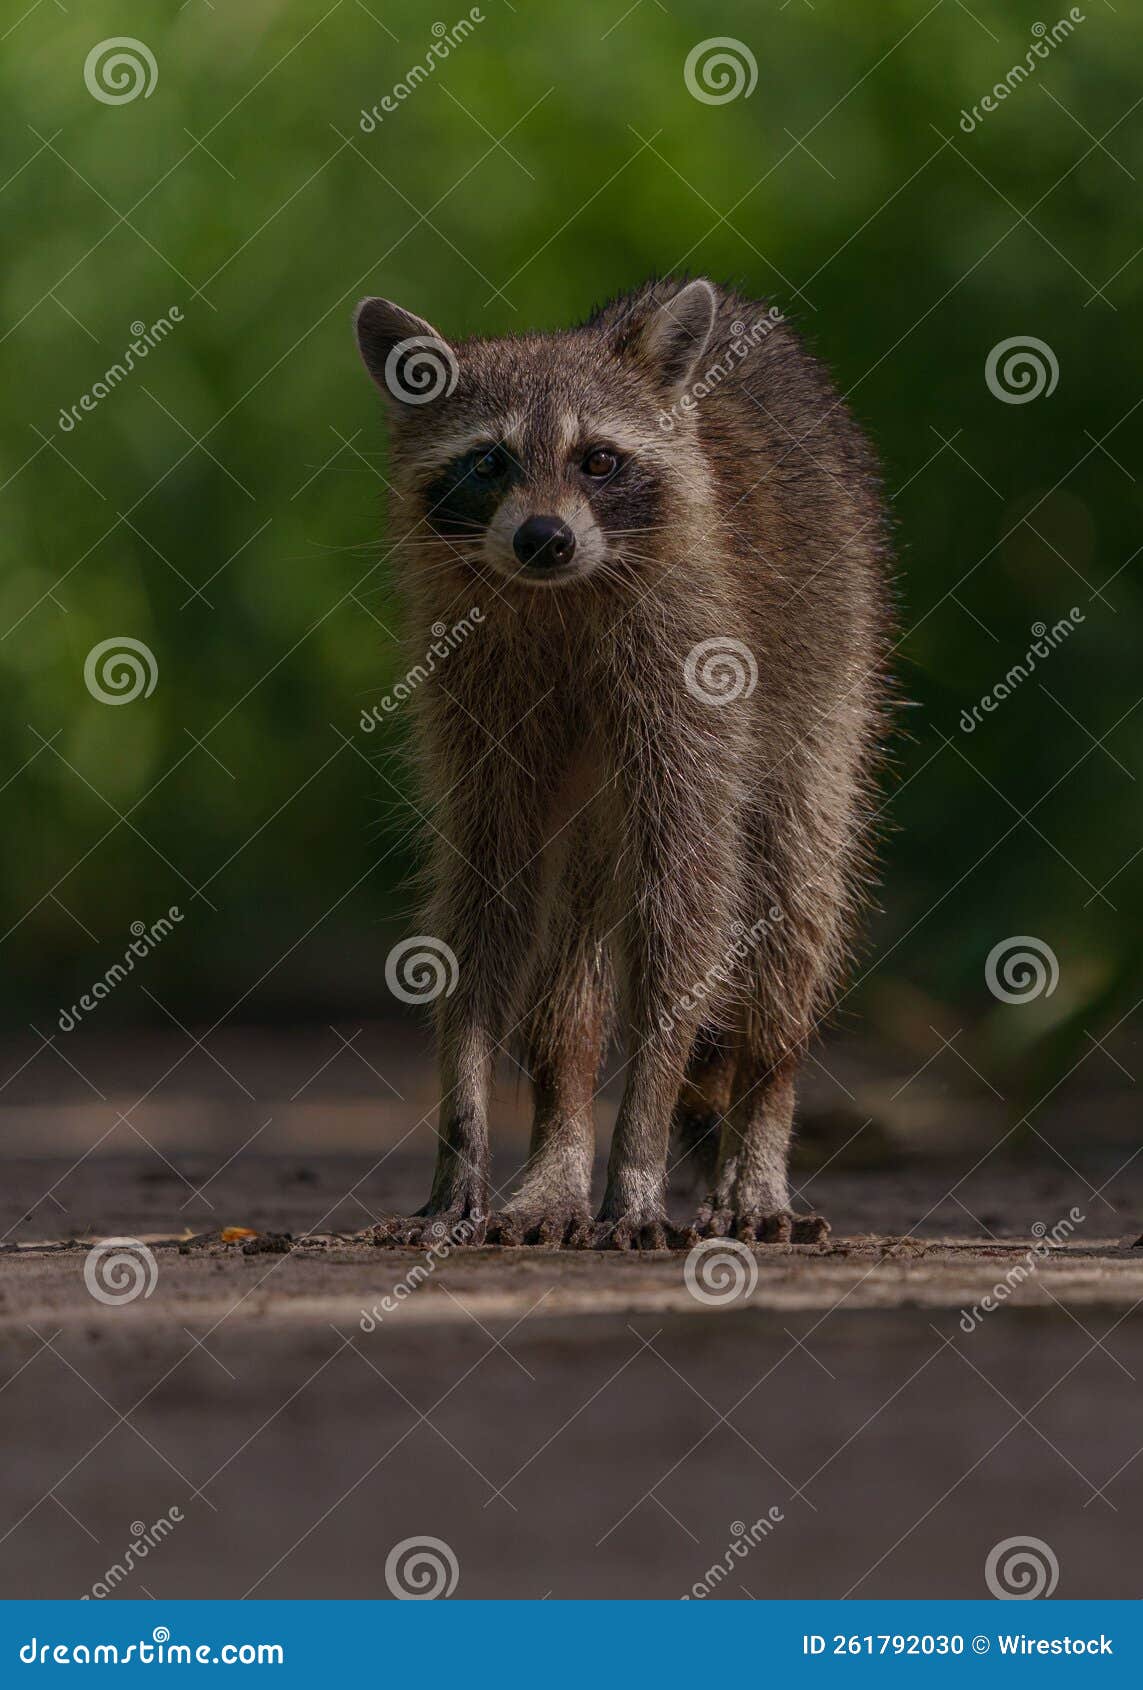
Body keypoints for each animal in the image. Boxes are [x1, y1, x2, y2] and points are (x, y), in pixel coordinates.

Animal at [354, 277, 892, 1249]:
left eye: (598, 460)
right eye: (487, 462)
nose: (543, 538)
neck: (557, 598)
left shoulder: (695, 679)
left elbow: (688, 911)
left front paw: (638, 1146)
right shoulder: (473, 697)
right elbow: (484, 901)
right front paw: (464, 1128)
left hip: (833, 673)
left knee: (793, 902)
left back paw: (760, 1127)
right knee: (568, 961)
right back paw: (558, 1141)